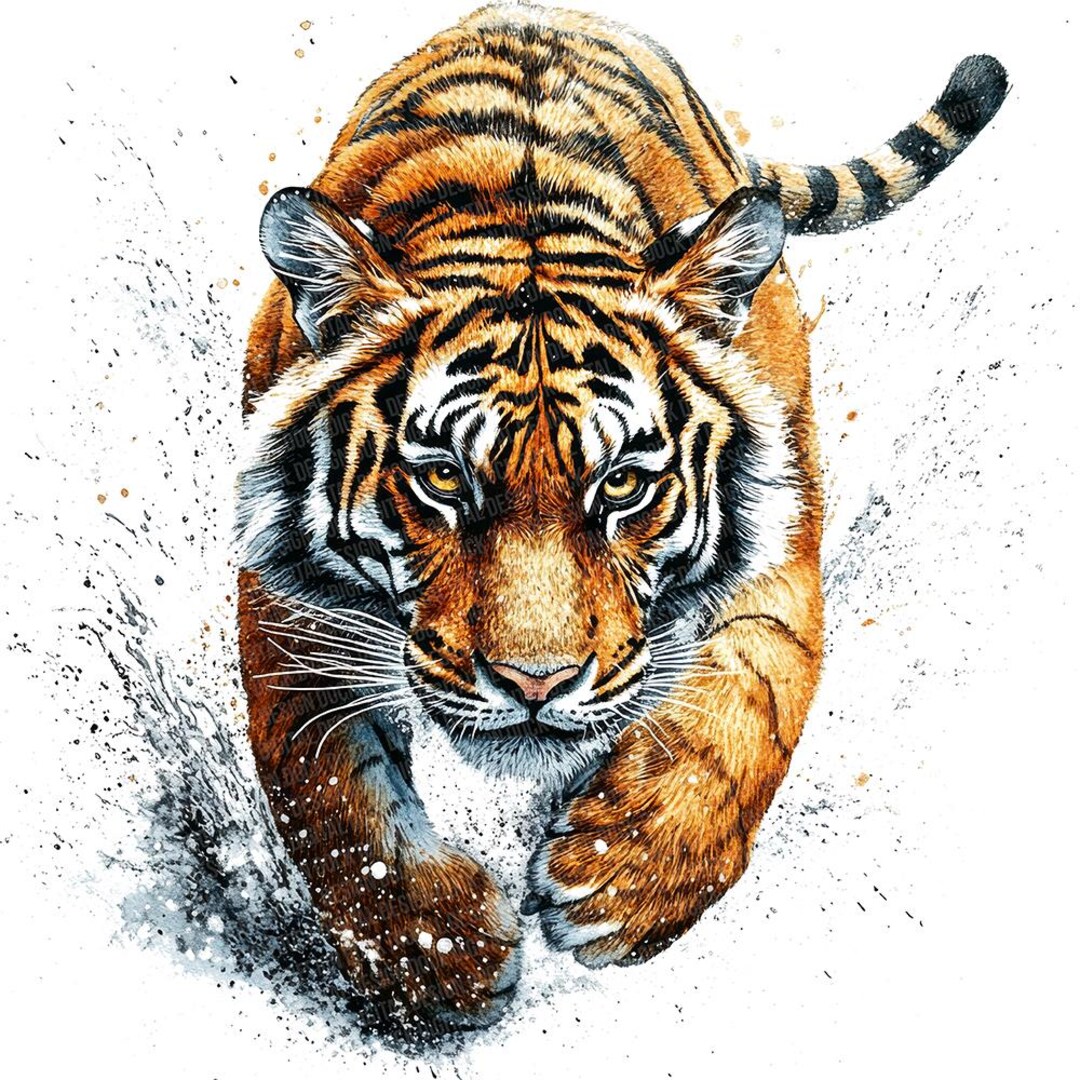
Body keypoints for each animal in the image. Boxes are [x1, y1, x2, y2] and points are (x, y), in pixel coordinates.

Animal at [236, 2, 1006, 1034]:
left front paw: (622, 879)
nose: (536, 683)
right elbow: (326, 792)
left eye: (624, 486)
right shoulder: (288, 610)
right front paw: (436, 955)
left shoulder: (779, 561)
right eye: (440, 478)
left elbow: (749, 703)